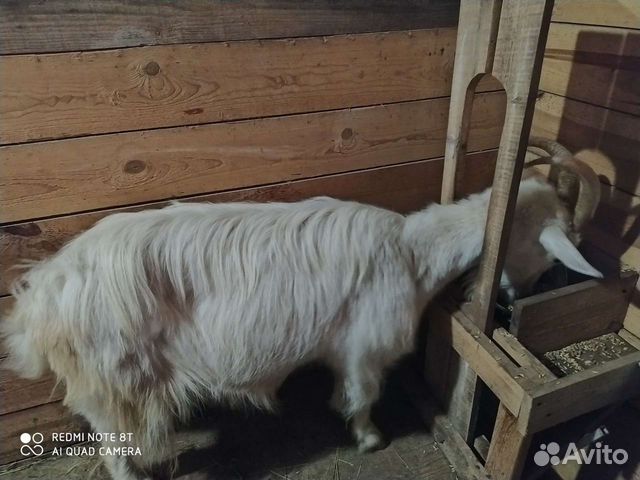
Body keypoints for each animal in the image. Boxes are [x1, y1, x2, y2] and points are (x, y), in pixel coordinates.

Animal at [2, 138, 601, 479]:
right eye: (553, 249)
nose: (513, 300)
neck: (412, 250)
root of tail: (41, 293)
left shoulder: (345, 348)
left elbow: (344, 388)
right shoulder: (367, 346)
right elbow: (364, 396)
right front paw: (369, 438)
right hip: (111, 378)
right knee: (113, 446)